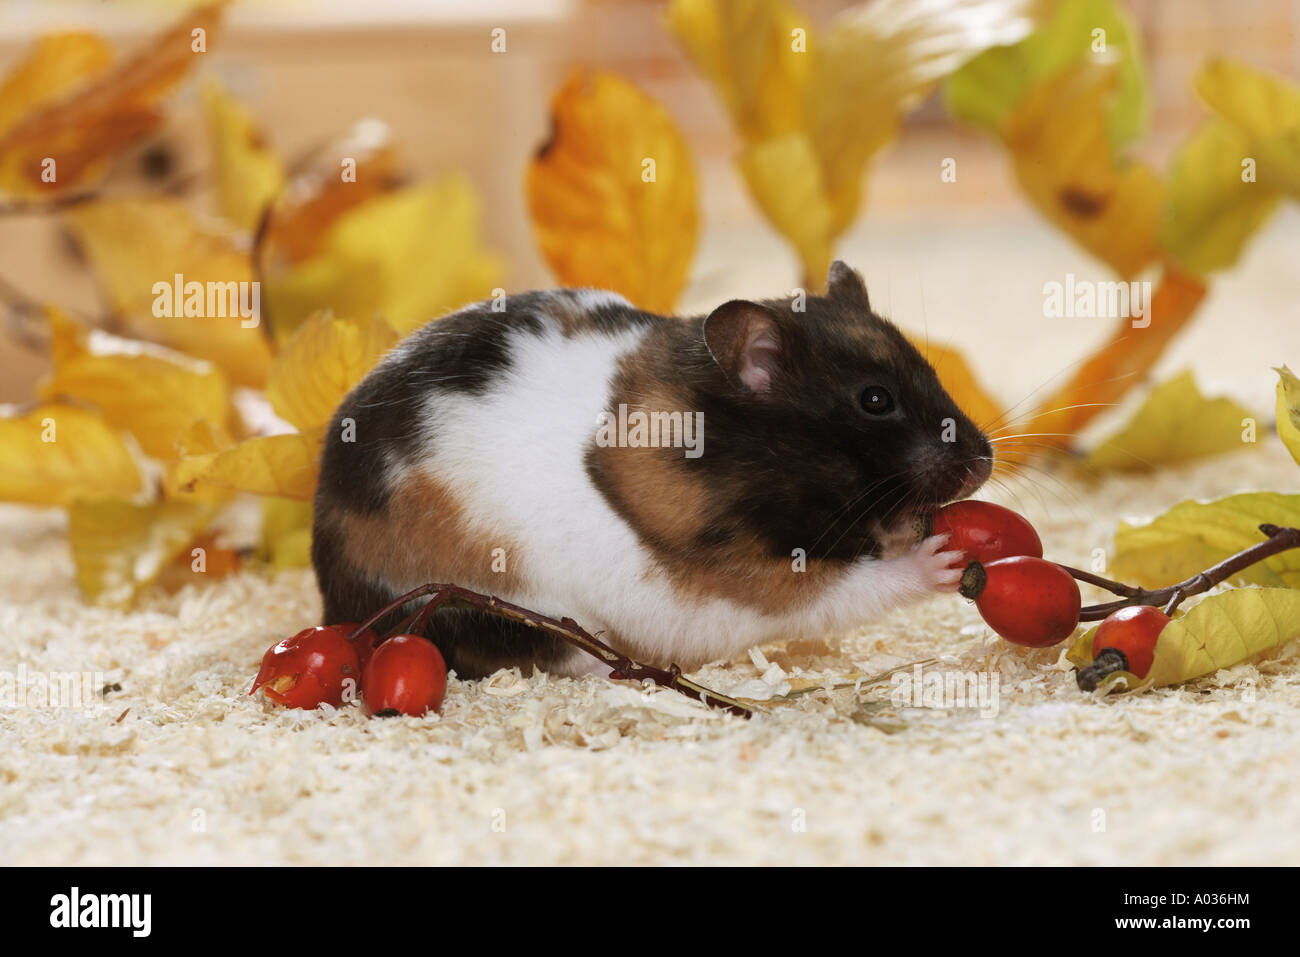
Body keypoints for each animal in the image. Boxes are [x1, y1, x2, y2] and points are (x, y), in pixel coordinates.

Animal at [311, 261, 993, 679]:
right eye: (875, 400)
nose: (983, 463)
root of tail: (335, 600)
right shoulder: (734, 588)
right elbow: (844, 590)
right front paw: (940, 558)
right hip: (486, 606)